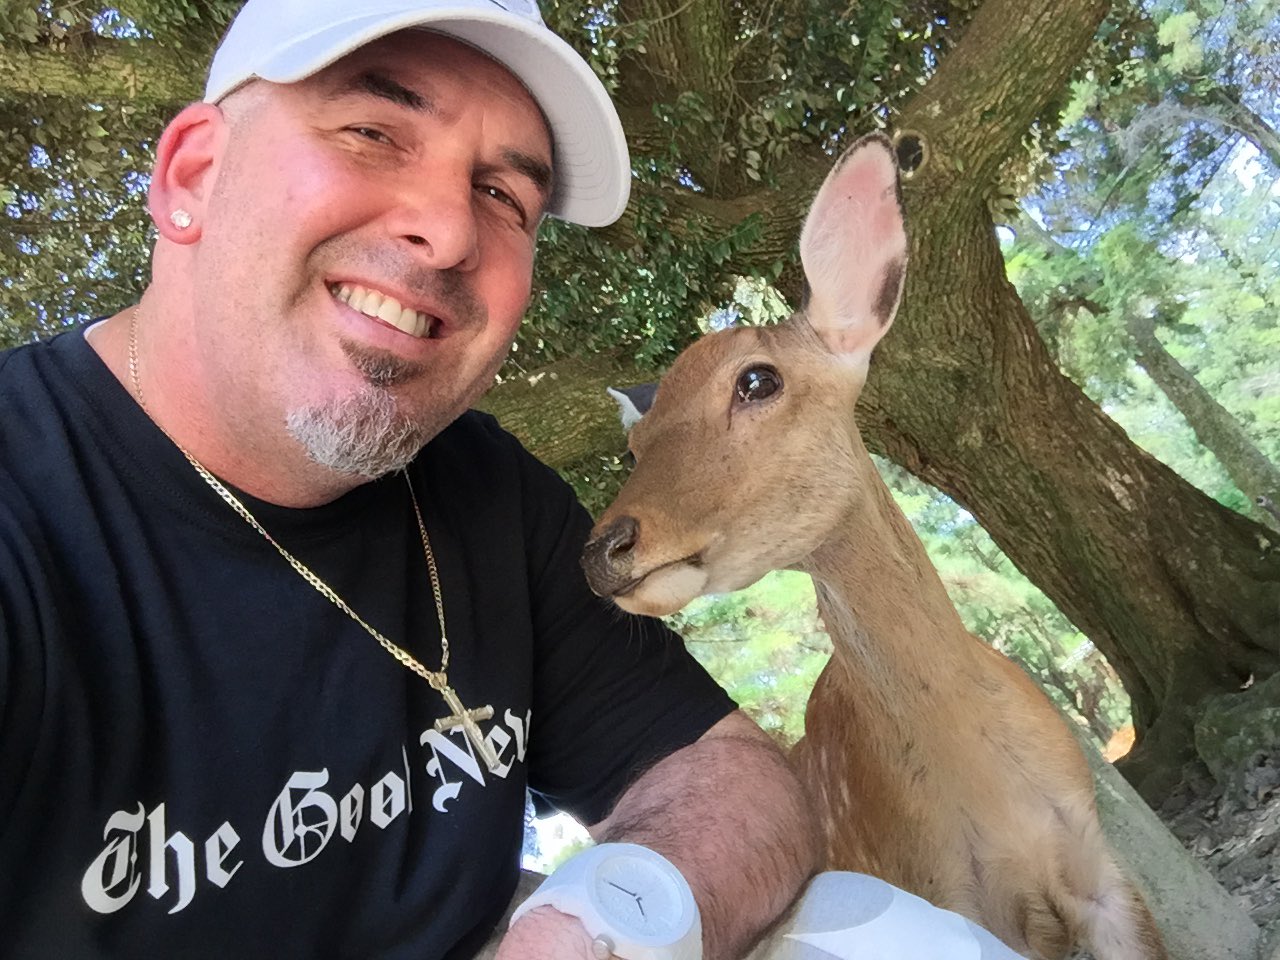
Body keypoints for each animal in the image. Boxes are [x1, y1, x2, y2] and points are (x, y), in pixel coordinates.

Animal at [579, 134, 1168, 960]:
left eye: (757, 380)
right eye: (634, 448)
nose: (605, 549)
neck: (994, 797)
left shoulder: (1100, 867)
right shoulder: (954, 901)